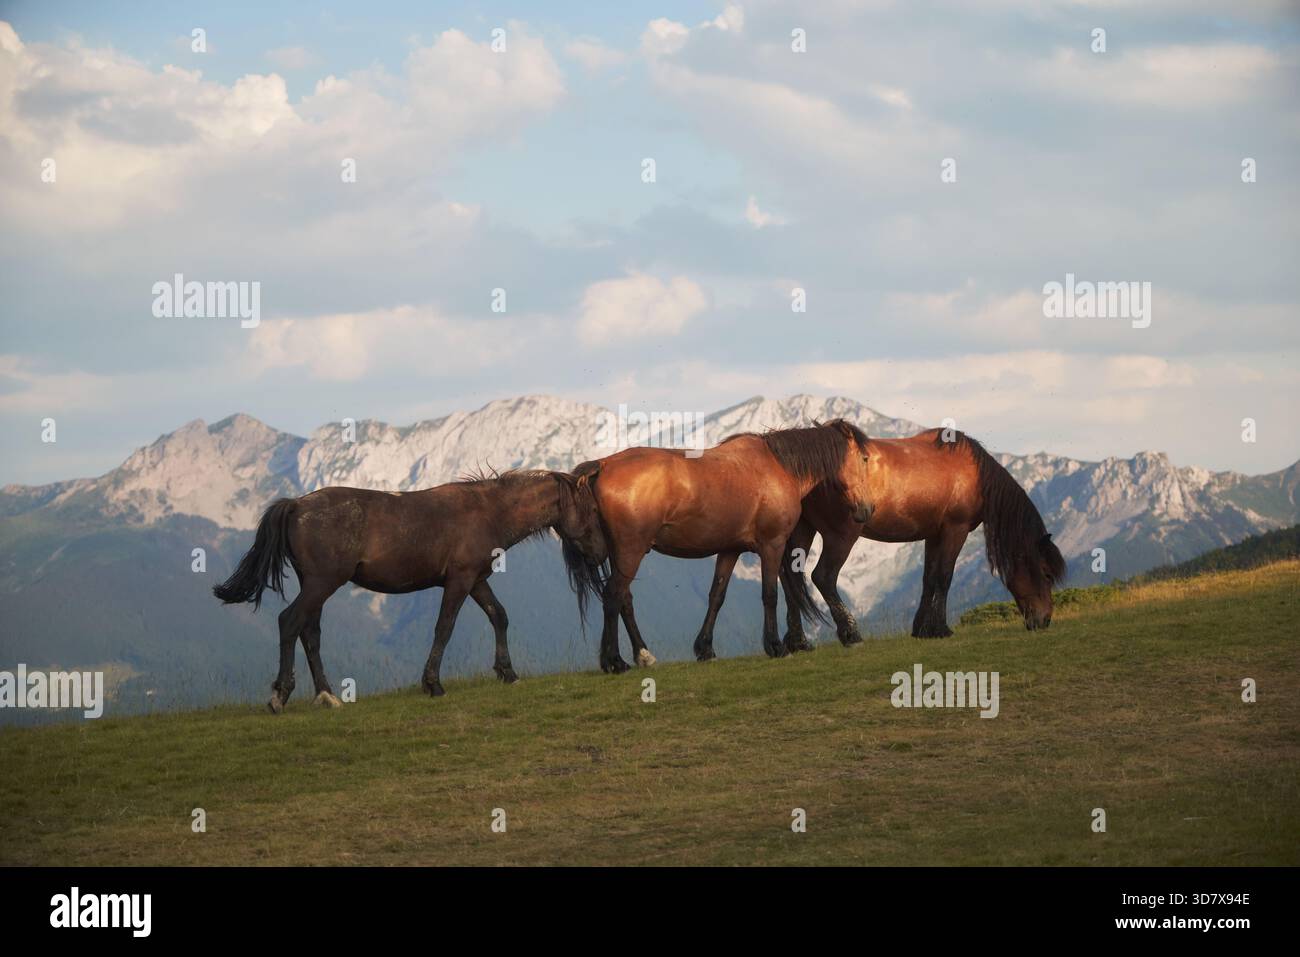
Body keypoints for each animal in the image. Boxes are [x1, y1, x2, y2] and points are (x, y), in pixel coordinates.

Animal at [212, 469, 607, 710]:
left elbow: (499, 616)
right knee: (290, 622)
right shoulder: (460, 580)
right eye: (590, 508)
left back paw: (327, 696)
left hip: (316, 586)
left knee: (310, 633)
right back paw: (280, 694)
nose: (603, 552)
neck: (488, 511)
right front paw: (433, 684)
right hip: (322, 583)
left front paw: (507, 672)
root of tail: (295, 504)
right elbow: (444, 627)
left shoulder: (476, 580)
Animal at [571, 420, 873, 672]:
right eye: (865, 459)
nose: (867, 509)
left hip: (621, 556)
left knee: (623, 599)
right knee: (613, 596)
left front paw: (705, 649)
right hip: (630, 553)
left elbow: (717, 596)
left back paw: (639, 656)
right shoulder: (772, 546)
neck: (779, 467)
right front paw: (775, 646)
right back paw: (614, 661)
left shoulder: (730, 550)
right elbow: (770, 594)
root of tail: (603, 464)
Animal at [780, 428, 1067, 650]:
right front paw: (941, 628)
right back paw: (851, 634)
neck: (972, 473)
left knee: (790, 579)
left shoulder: (934, 535)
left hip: (802, 531)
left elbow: (928, 579)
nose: (1045, 620)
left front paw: (922, 629)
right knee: (823, 577)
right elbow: (944, 577)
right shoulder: (955, 530)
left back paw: (798, 642)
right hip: (841, 536)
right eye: (1046, 574)